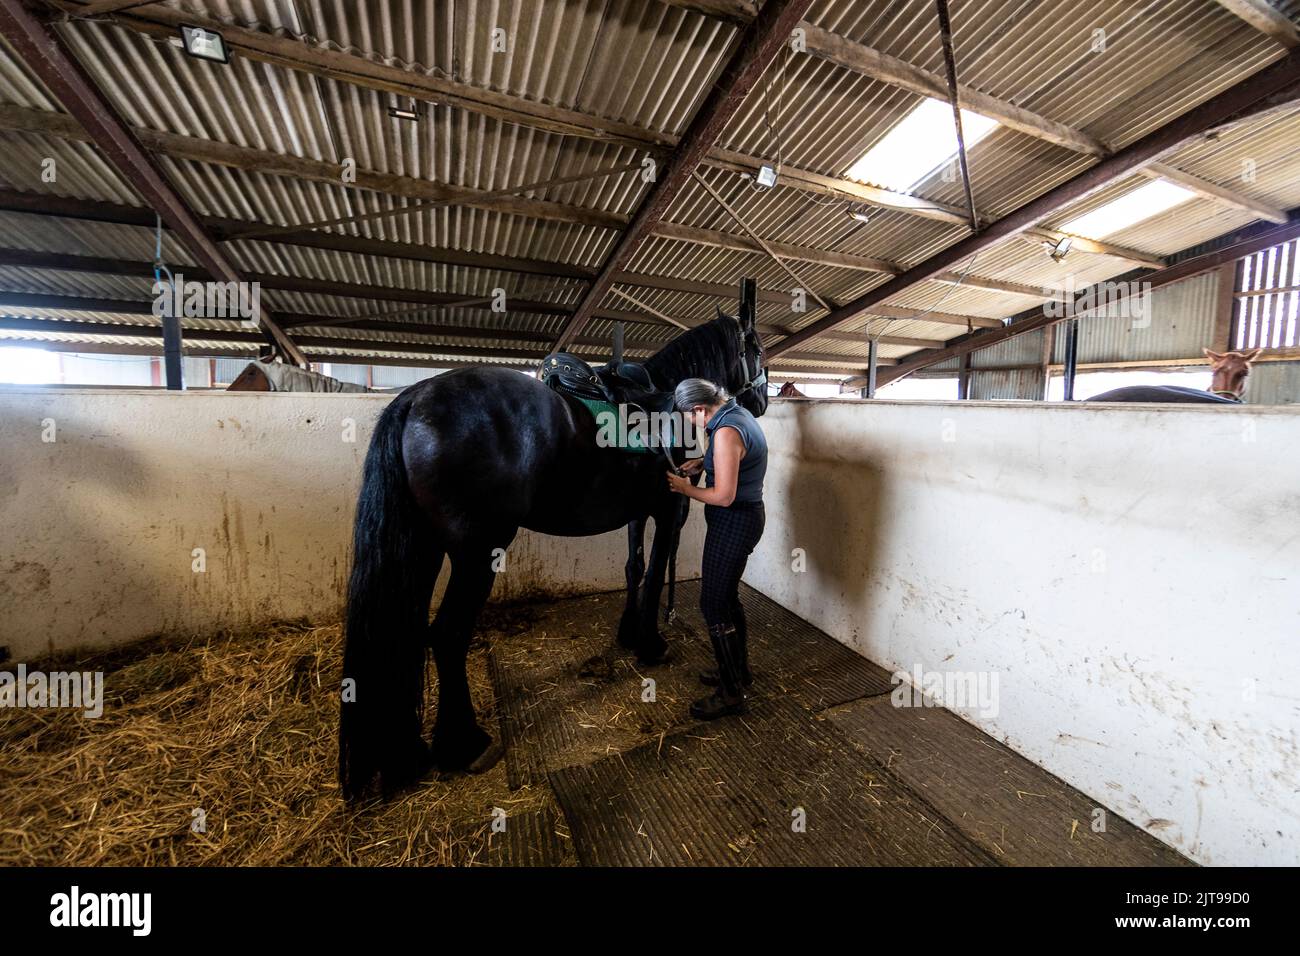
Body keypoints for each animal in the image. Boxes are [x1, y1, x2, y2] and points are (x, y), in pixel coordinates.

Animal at [338, 312, 768, 801]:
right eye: (756, 349)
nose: (761, 401)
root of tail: (415, 398)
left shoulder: (636, 513)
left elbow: (635, 568)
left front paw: (628, 634)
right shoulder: (667, 508)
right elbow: (658, 571)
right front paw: (650, 643)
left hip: (426, 550)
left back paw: (415, 751)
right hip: (476, 554)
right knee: (447, 635)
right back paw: (465, 744)